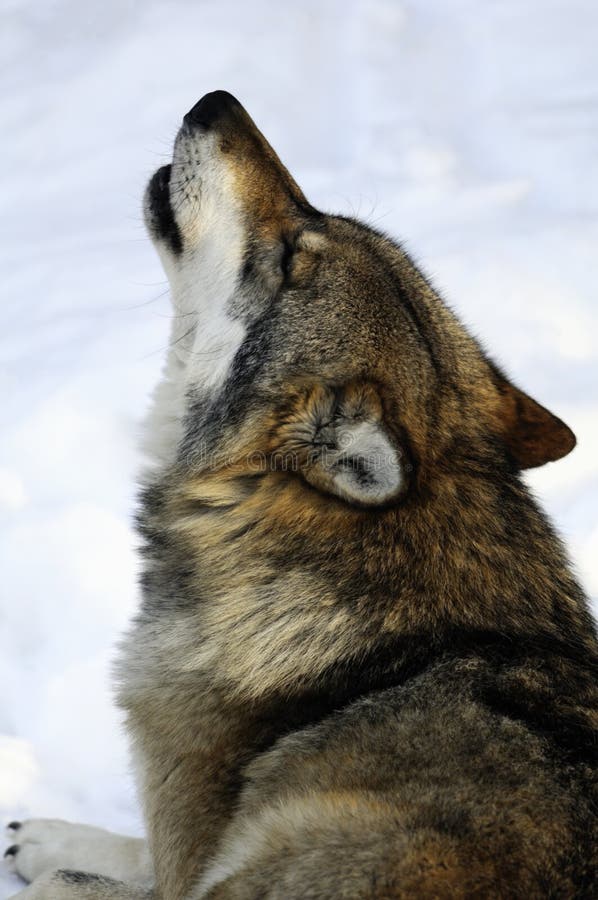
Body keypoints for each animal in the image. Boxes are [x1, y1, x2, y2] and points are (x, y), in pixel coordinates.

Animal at [5, 89, 598, 892]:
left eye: (289, 257)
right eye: (314, 216)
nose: (216, 102)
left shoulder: (189, 850)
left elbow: (119, 872)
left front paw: (59, 852)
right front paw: (47, 836)